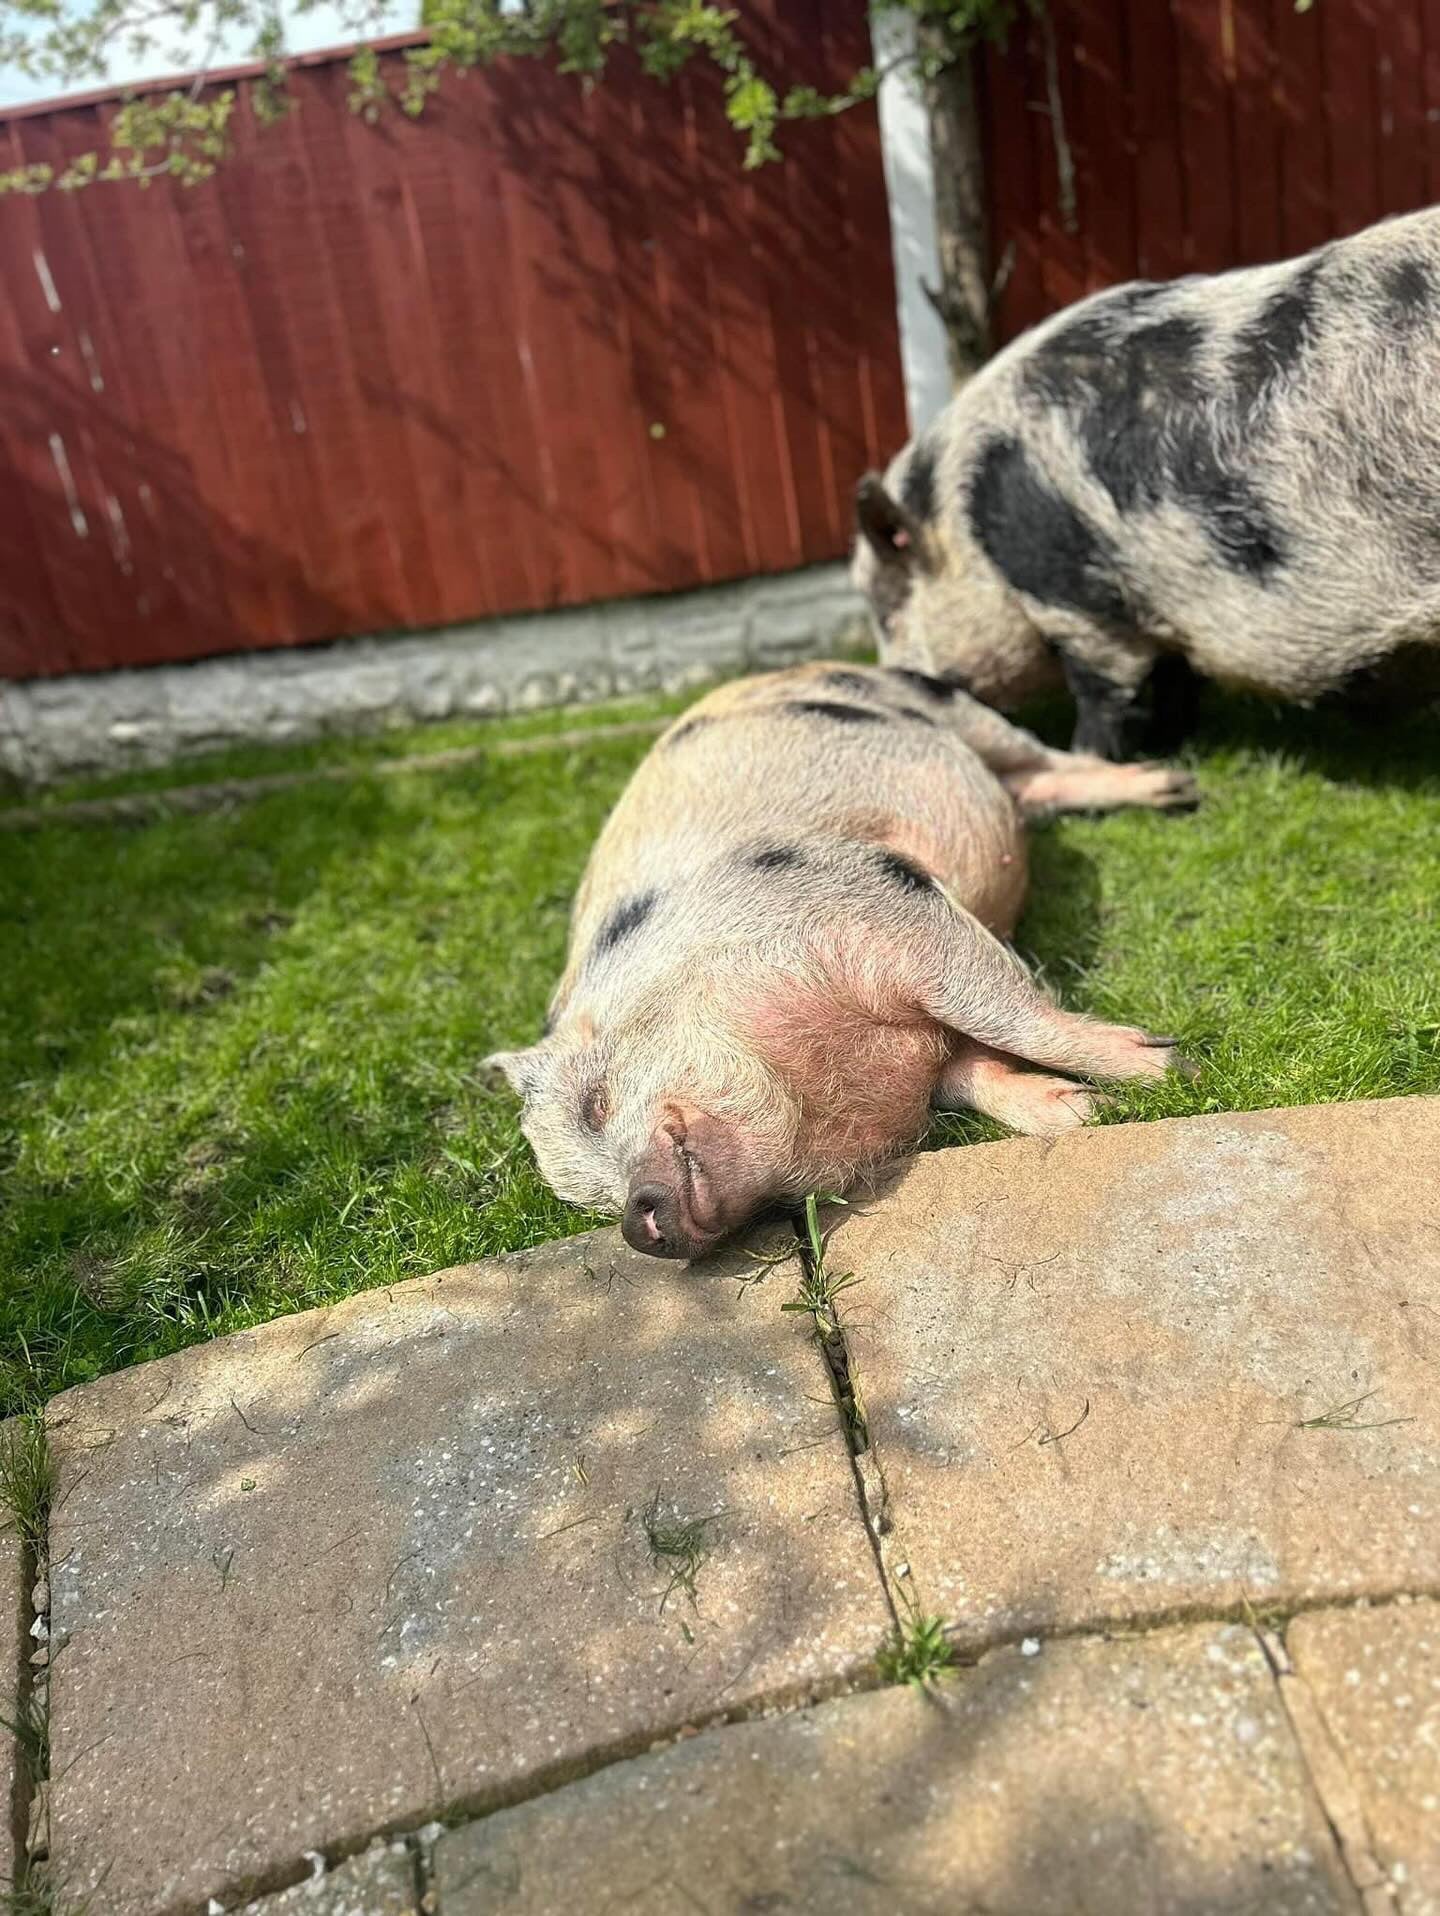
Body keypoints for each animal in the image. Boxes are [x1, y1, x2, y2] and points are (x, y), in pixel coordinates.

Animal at [486, 662, 1196, 1260]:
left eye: (596, 1102)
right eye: (593, 1200)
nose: (638, 1224)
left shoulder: (883, 899)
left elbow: (1005, 1012)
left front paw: (1171, 1066)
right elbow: (975, 1073)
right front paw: (1085, 1111)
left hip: (949, 708)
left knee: (1046, 755)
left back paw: (1177, 788)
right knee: (1032, 788)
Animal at [852, 206, 1440, 759]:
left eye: (887, 606)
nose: (890, 678)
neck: (964, 524)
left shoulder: (1075, 597)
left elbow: (1108, 693)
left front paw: (1090, 759)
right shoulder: (1168, 603)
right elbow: (1177, 679)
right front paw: (1170, 745)